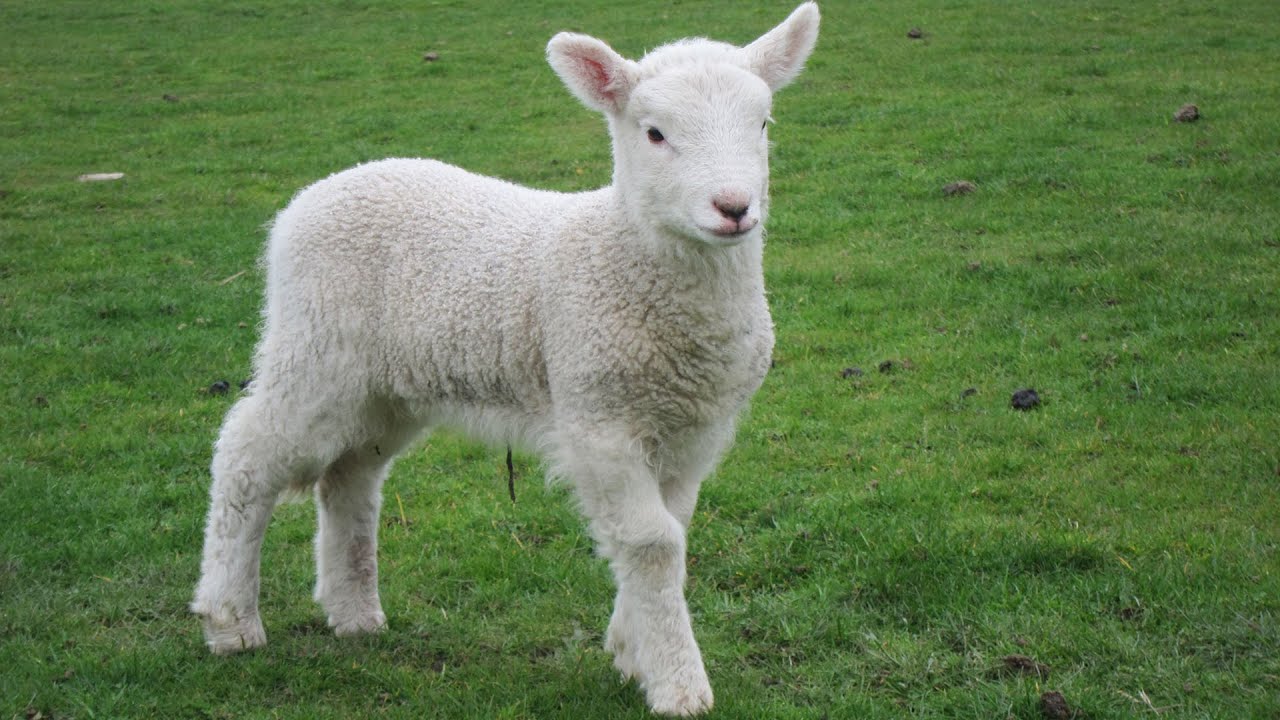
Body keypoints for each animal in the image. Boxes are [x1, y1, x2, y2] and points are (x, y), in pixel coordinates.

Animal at [192, 3, 819, 715]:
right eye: (655, 133)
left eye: (763, 124)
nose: (734, 208)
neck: (627, 258)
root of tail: (320, 191)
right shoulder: (597, 415)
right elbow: (653, 543)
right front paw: (678, 684)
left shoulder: (693, 429)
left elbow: (671, 532)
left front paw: (630, 648)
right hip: (317, 349)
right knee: (248, 454)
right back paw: (230, 620)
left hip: (385, 386)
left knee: (350, 475)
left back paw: (354, 612)